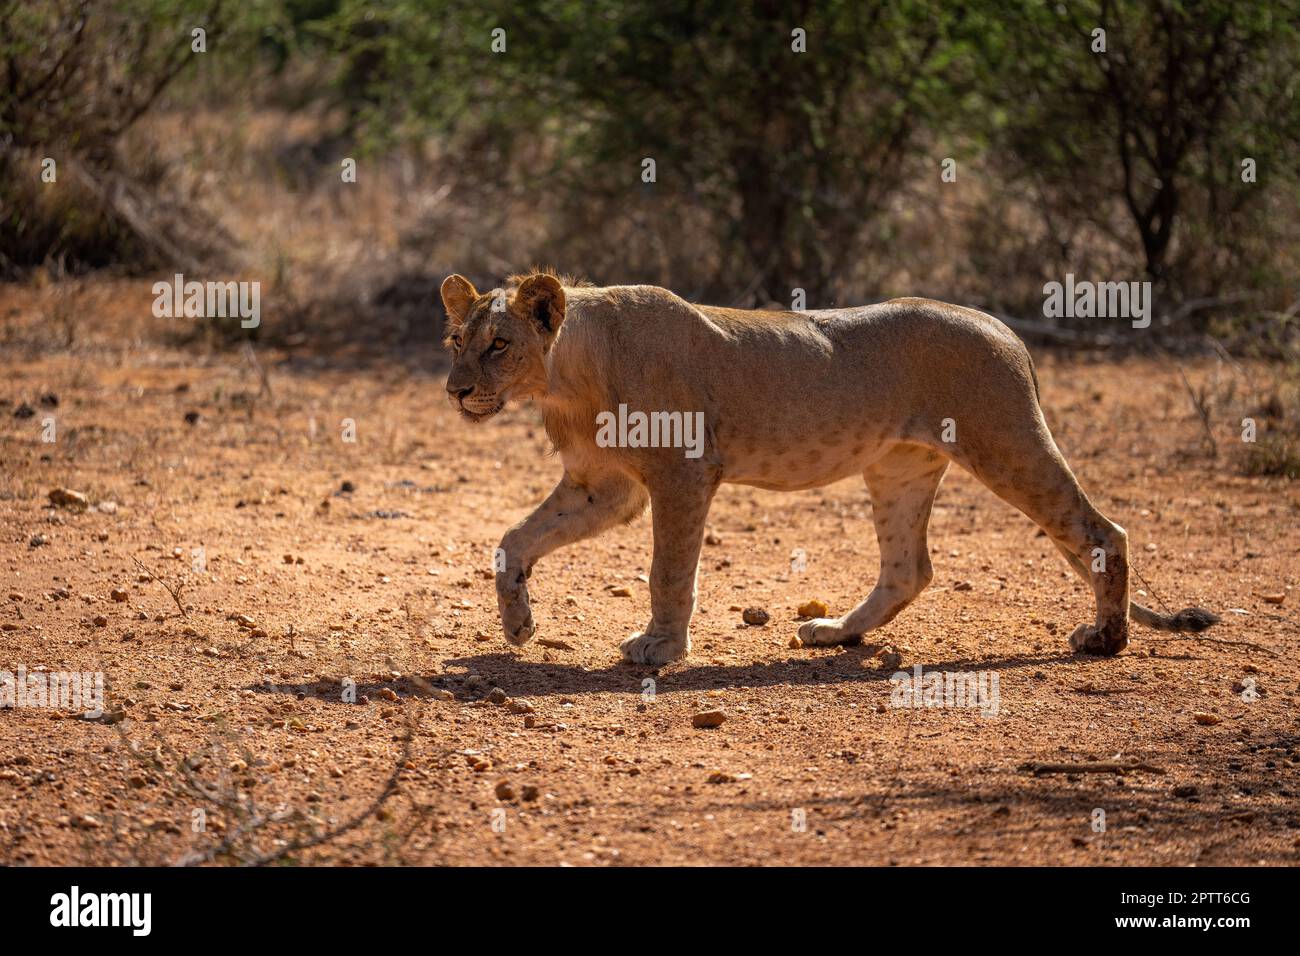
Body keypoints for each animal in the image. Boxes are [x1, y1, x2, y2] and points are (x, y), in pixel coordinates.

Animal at [440, 270, 1219, 666]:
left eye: (500, 344)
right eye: (456, 341)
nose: (454, 390)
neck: (565, 379)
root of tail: (1005, 329)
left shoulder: (682, 473)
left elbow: (669, 572)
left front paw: (659, 647)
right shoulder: (604, 486)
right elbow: (513, 541)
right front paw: (518, 626)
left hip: (1007, 442)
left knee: (1103, 530)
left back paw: (1105, 640)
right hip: (900, 468)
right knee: (910, 568)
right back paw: (836, 632)